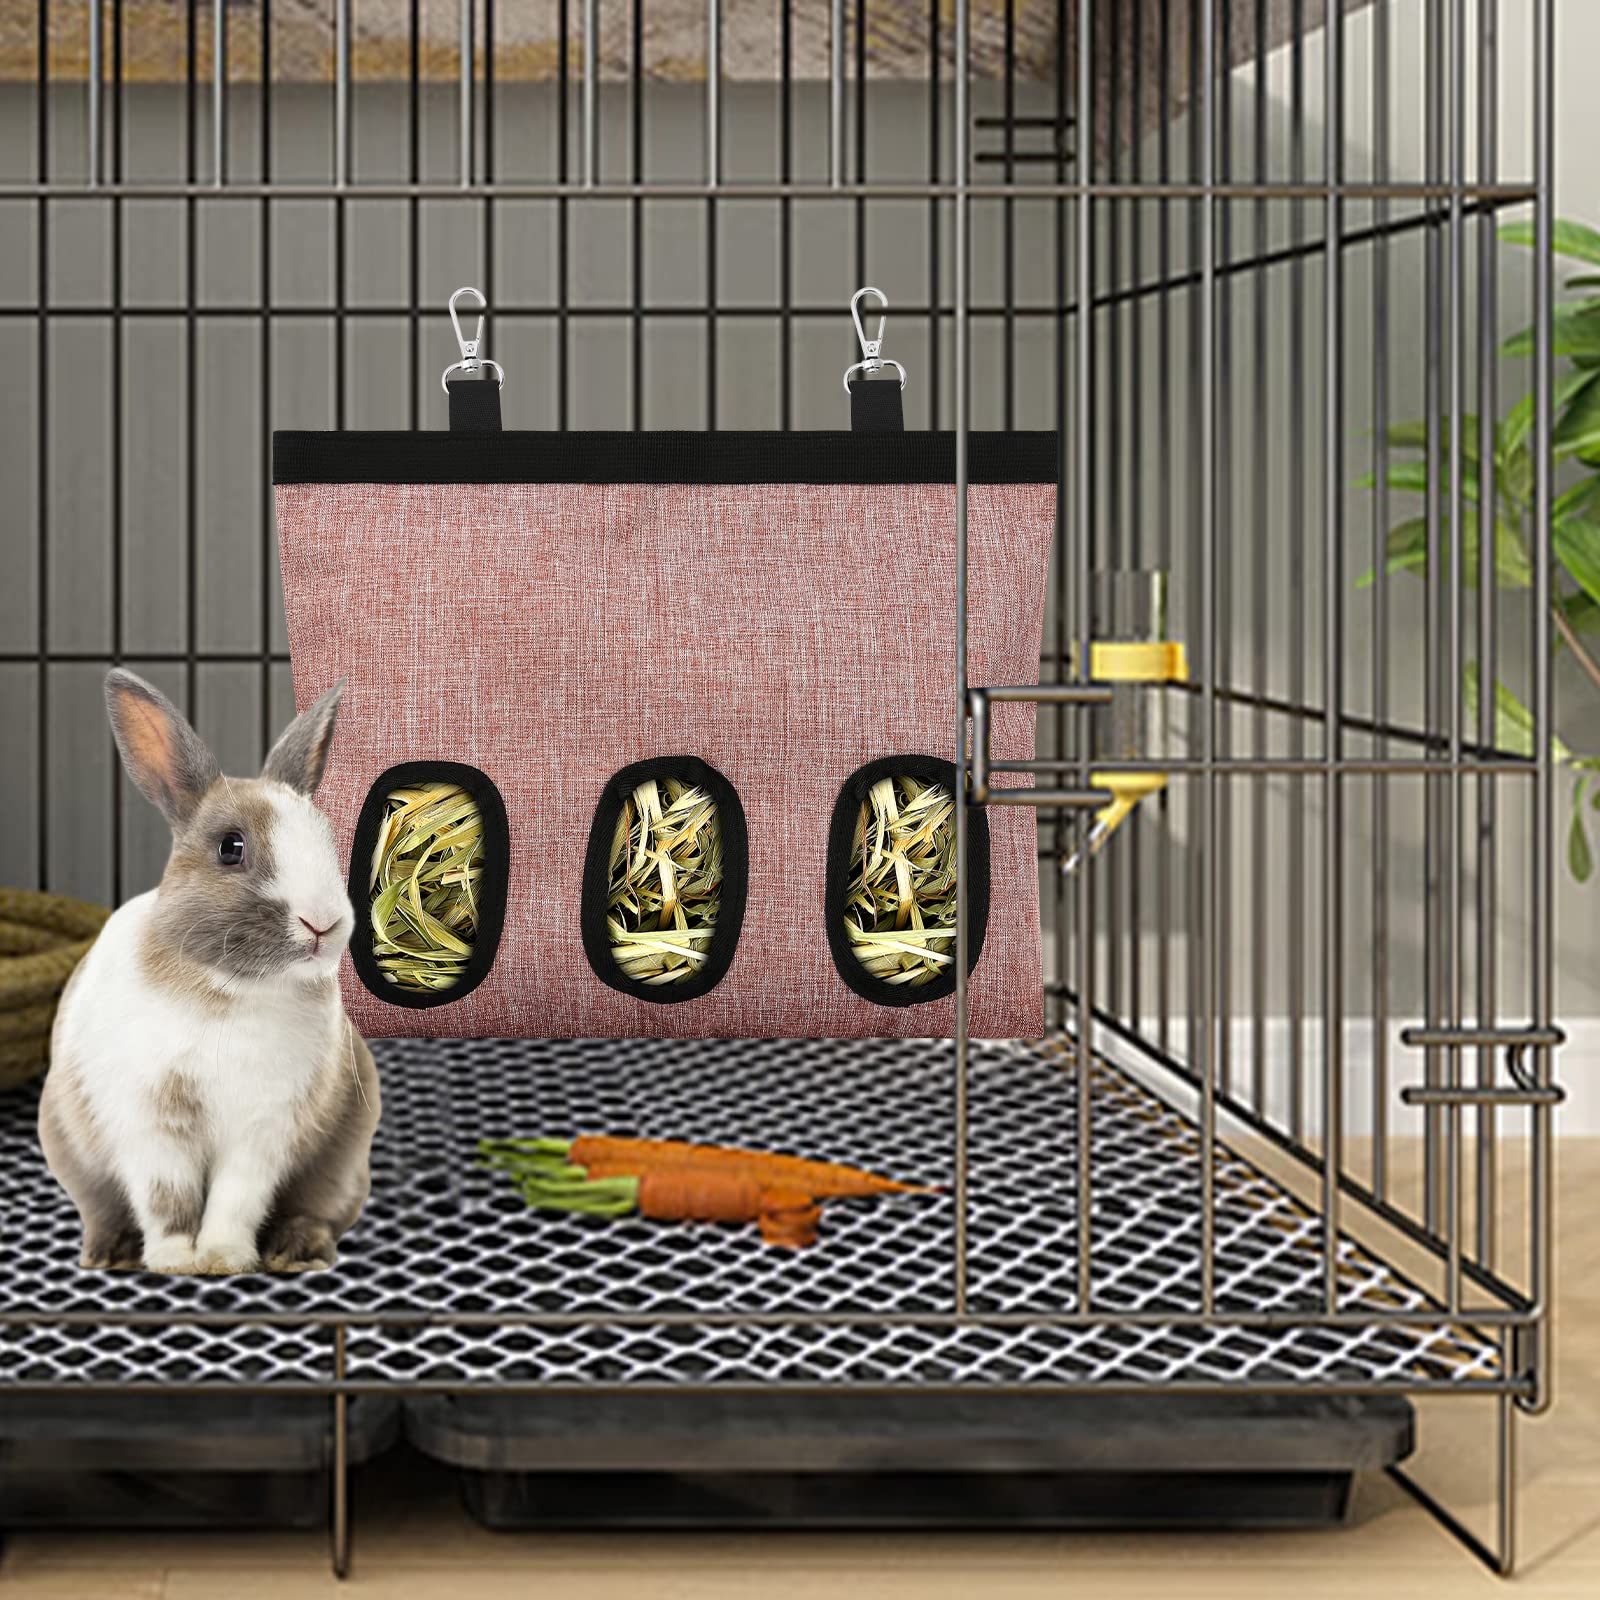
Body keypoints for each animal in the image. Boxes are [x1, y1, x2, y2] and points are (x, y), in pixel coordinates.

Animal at [38, 668, 381, 1275]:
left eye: (327, 842)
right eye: (231, 848)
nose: (323, 922)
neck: (230, 989)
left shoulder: (263, 1130)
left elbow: (235, 1197)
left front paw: (222, 1258)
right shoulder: (151, 1123)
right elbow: (166, 1196)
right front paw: (175, 1260)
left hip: (344, 1163)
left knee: (316, 1212)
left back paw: (294, 1253)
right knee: (101, 1209)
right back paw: (109, 1254)